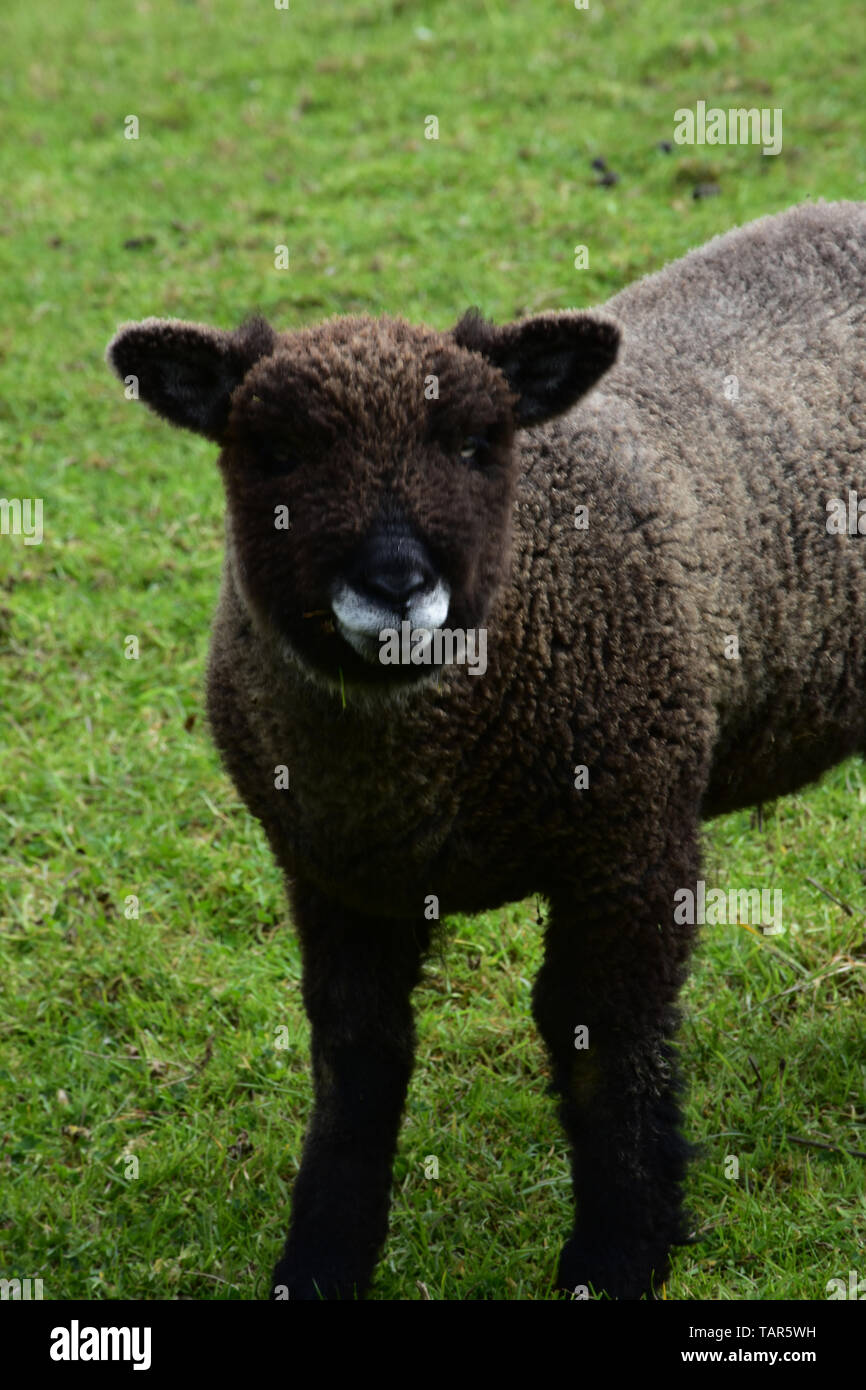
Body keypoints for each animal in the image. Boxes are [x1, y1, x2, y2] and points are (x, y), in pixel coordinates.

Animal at [106, 199, 866, 1300]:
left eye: (475, 444)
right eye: (274, 450)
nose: (394, 584)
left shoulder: (633, 833)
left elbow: (599, 1030)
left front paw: (617, 1252)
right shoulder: (331, 875)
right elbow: (356, 1053)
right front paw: (321, 1257)